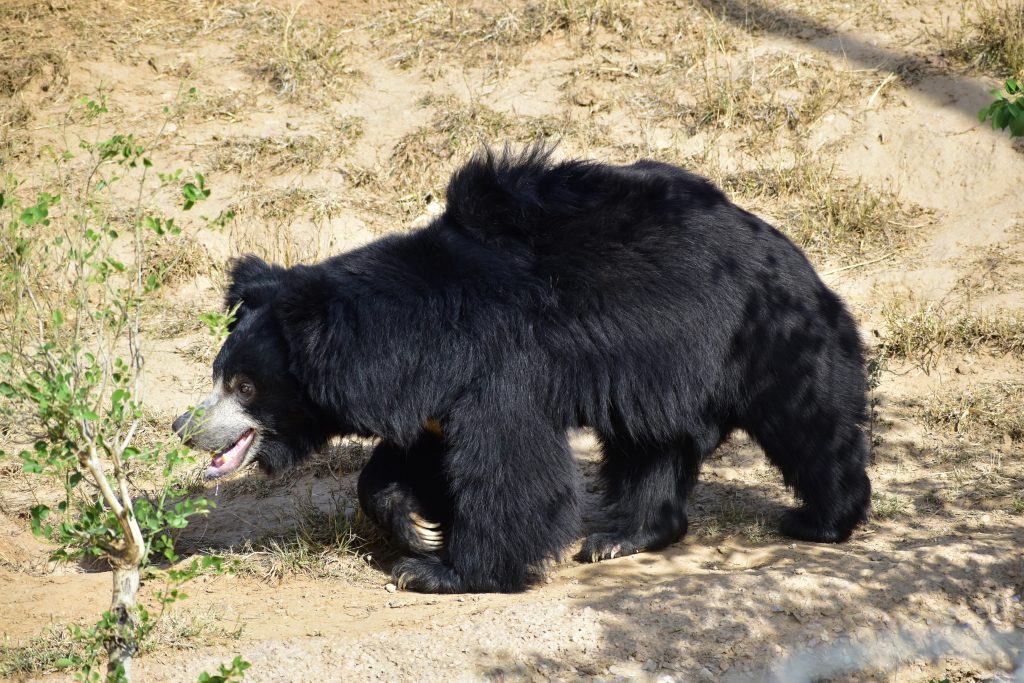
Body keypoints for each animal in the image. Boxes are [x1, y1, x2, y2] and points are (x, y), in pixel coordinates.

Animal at [172, 146, 872, 594]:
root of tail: (781, 244)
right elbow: (410, 460)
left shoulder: (500, 367)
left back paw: (822, 519)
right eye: (218, 373)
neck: (414, 338)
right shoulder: (438, 393)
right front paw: (420, 528)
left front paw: (441, 573)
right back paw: (622, 536)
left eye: (244, 386)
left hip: (761, 333)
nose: (184, 427)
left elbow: (509, 466)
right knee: (652, 446)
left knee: (808, 420)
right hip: (662, 367)